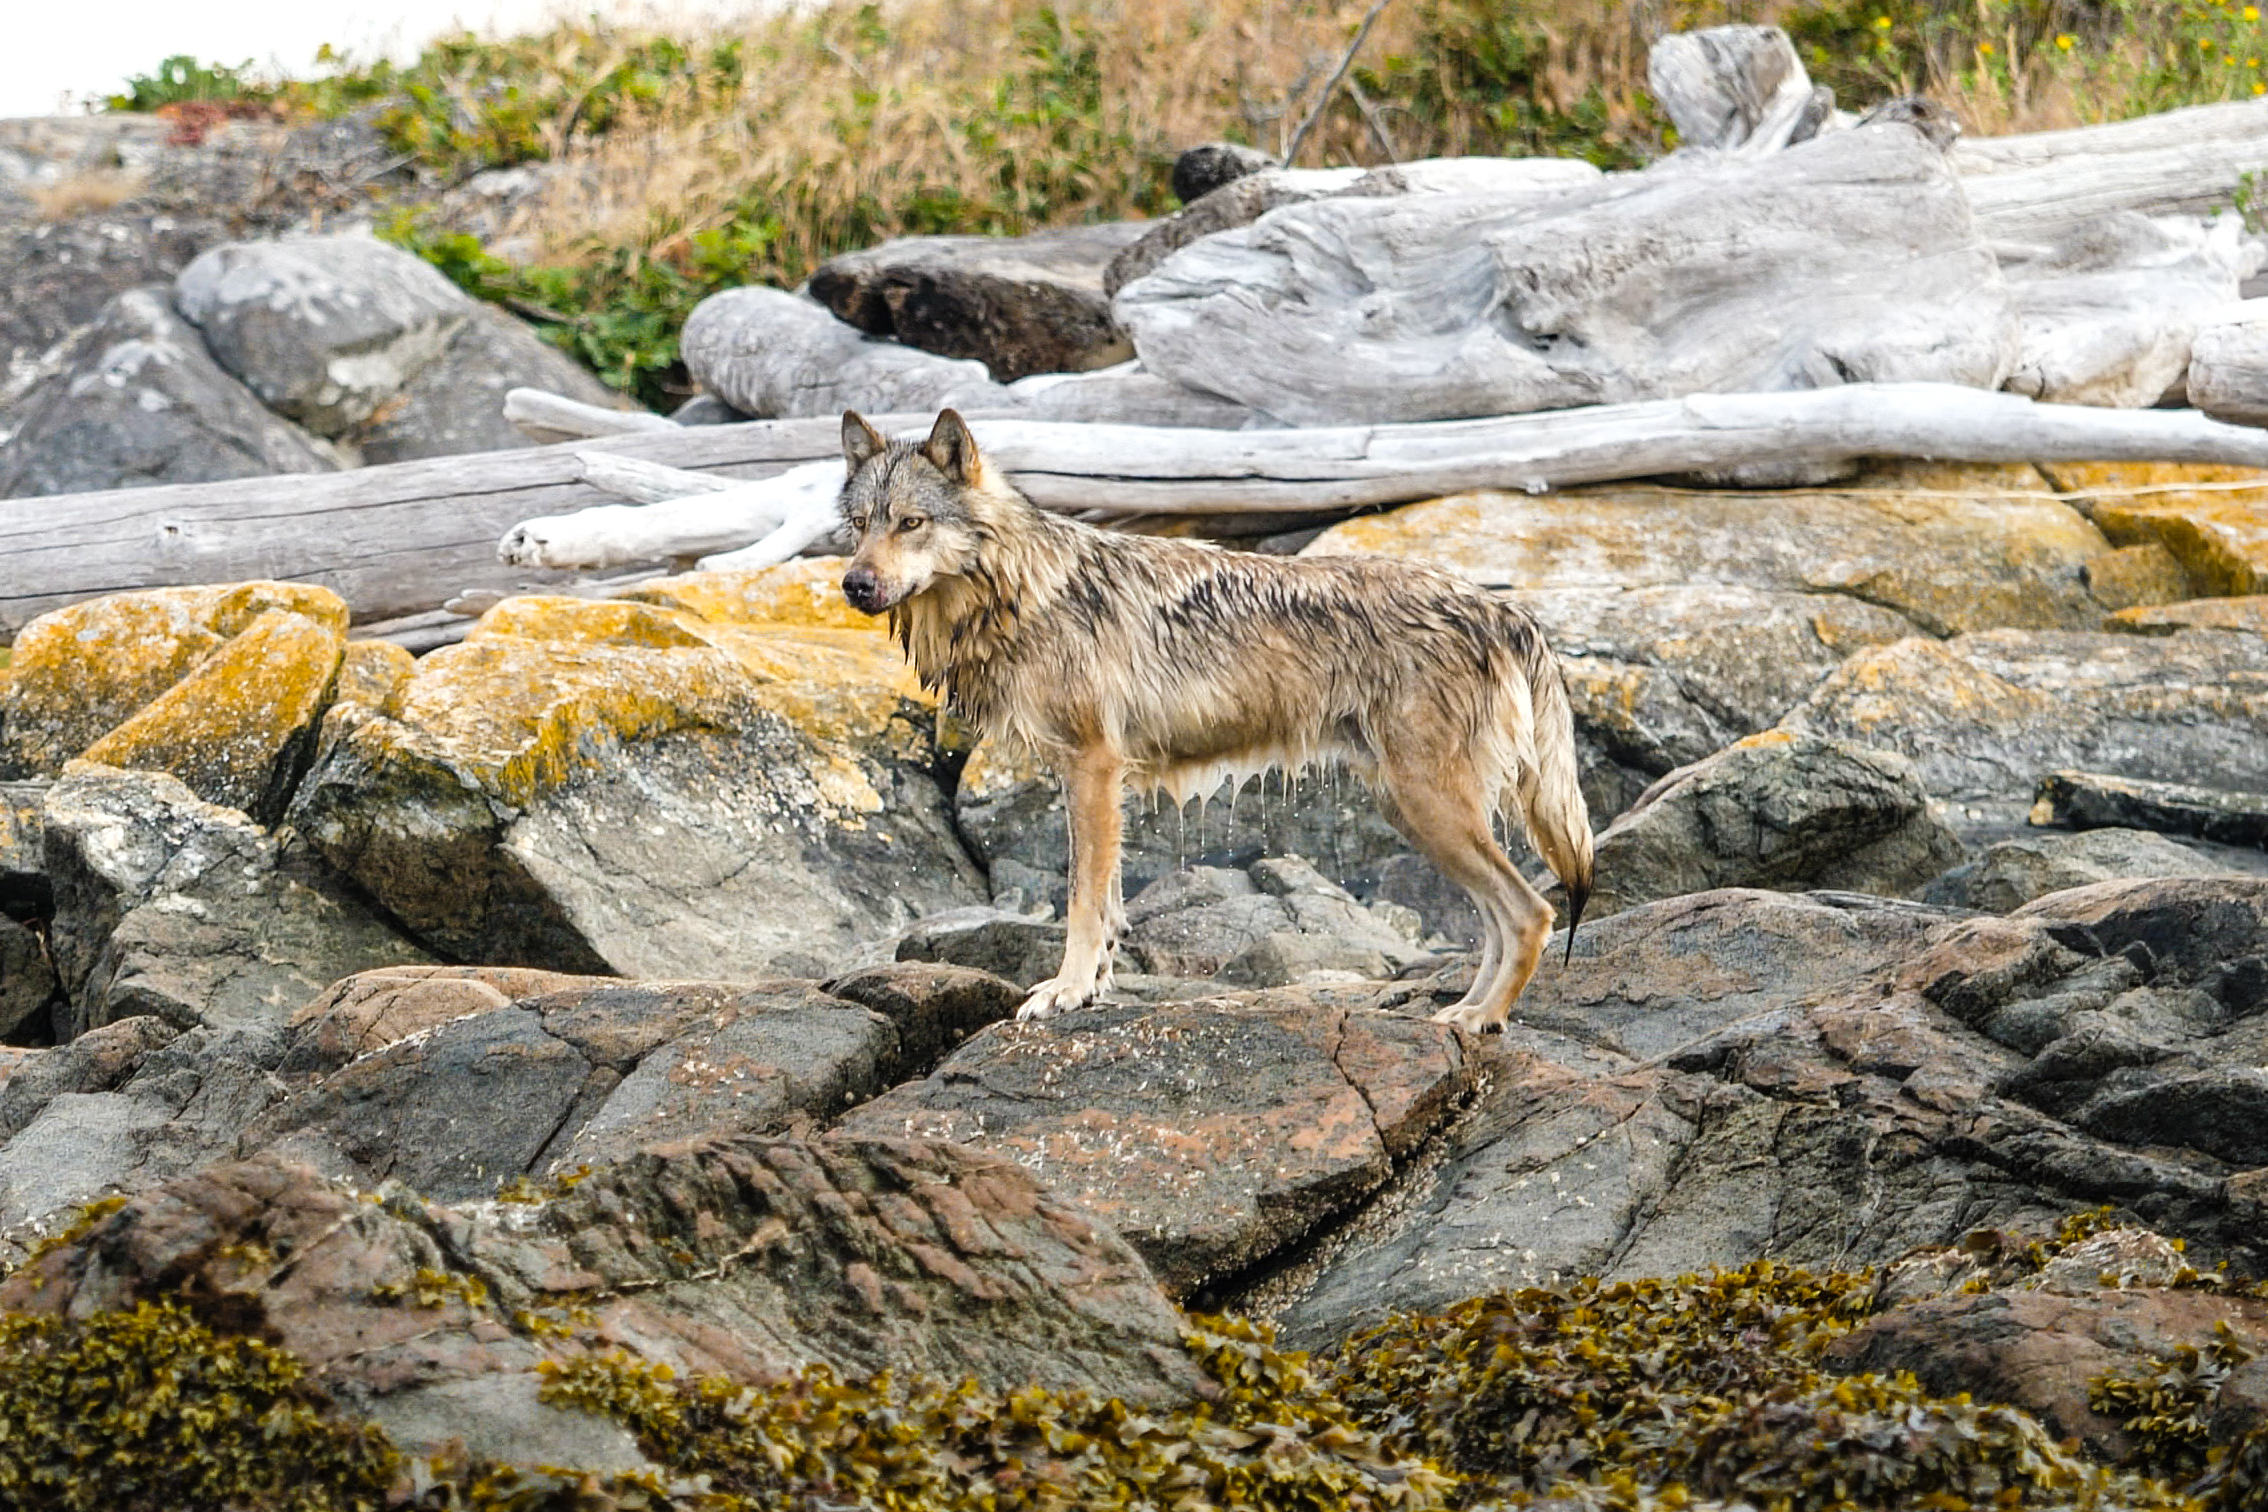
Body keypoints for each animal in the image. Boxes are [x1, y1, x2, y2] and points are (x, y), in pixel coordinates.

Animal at [836, 408, 1594, 1033]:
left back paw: (1481, 1019)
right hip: (1414, 811)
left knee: (1532, 913)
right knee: (1503, 919)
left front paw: (1064, 991)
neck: (1023, 591)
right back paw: (1466, 1013)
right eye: (860, 525)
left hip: (1432, 809)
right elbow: (1107, 906)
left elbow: (1081, 901)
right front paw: (1094, 988)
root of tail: (1501, 607)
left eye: (912, 523)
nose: (853, 585)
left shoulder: (1092, 769)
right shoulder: (1097, 781)